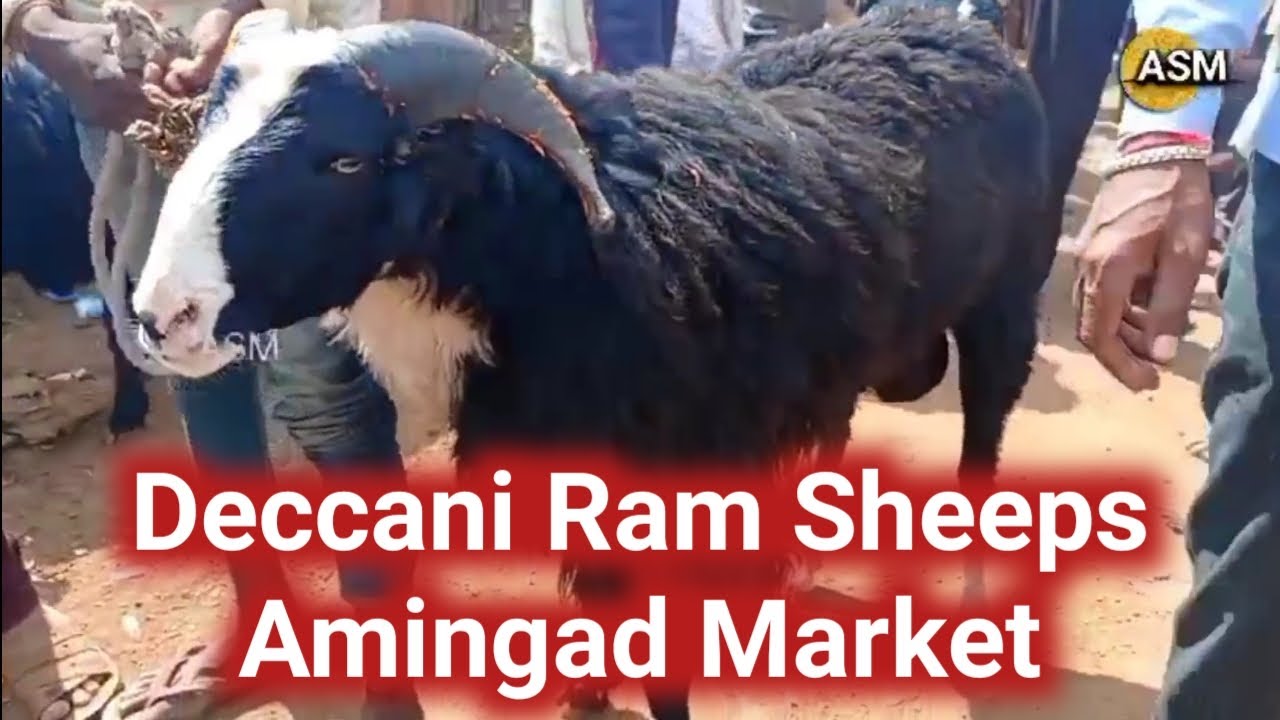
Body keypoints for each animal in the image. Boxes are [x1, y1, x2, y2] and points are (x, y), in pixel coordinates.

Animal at [130, 9, 1054, 717]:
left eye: (346, 160)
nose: (160, 315)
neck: (562, 240)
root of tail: (956, 30)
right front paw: (586, 695)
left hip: (1007, 304)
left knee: (981, 450)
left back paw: (974, 605)